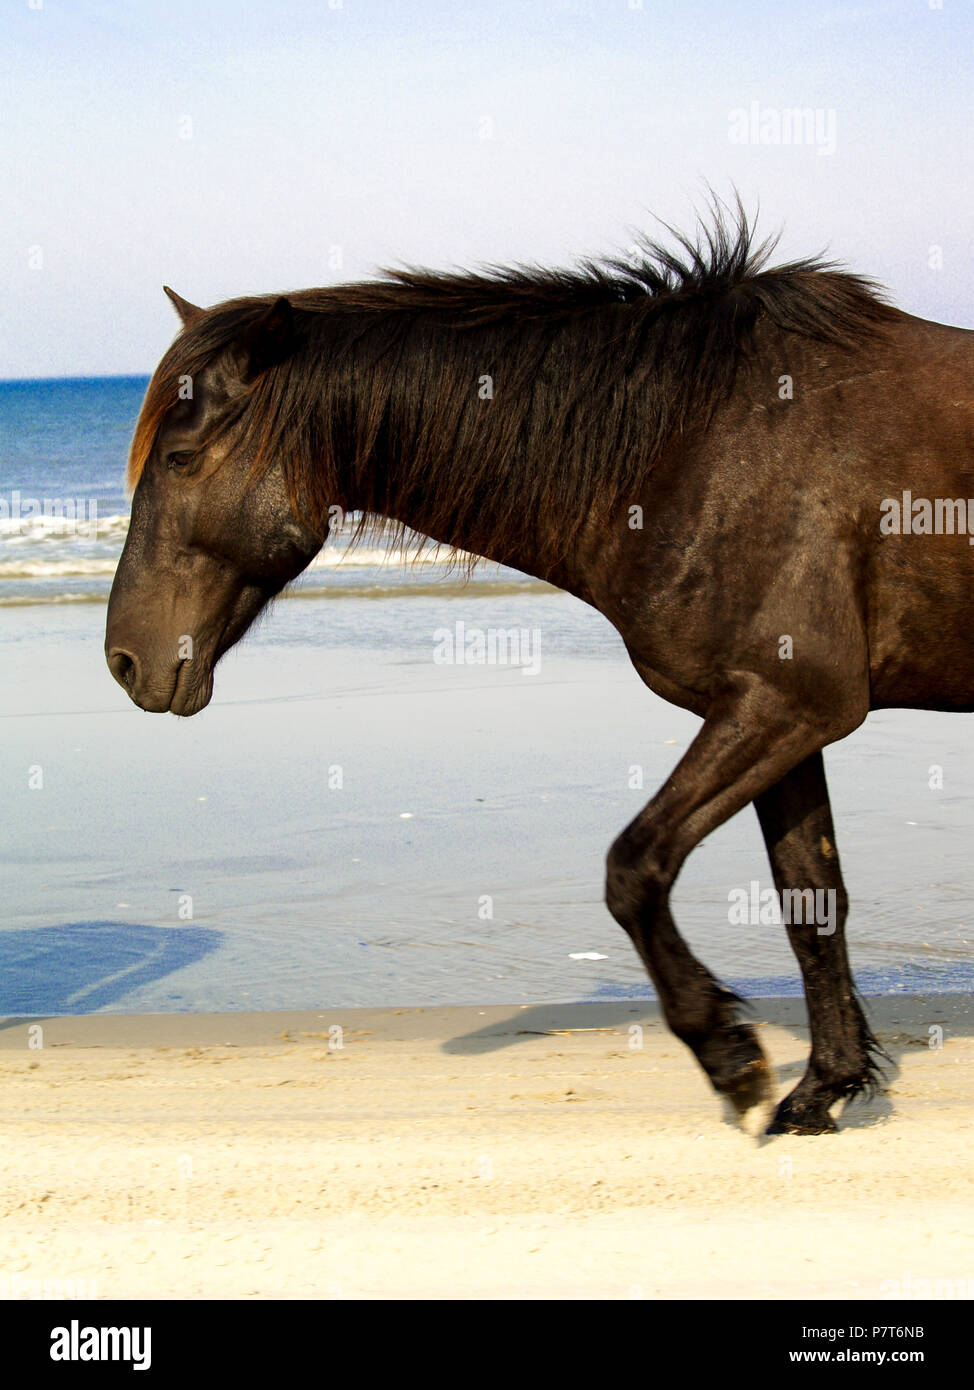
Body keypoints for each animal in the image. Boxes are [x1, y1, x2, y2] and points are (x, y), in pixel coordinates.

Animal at [105, 202, 973, 1135]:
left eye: (180, 460)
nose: (124, 660)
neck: (695, 444)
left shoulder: (787, 704)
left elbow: (634, 869)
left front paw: (730, 1055)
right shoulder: (788, 716)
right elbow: (812, 904)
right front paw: (819, 1092)